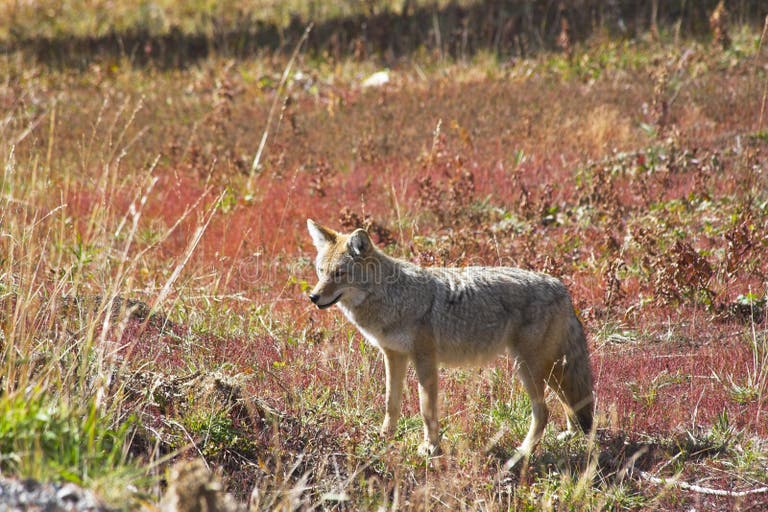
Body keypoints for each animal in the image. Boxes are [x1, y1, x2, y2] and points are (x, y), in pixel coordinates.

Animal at [306, 219, 594, 462]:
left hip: (529, 369)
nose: (313, 297)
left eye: (339, 273)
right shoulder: (393, 355)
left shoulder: (425, 360)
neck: (395, 296)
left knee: (544, 412)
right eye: (321, 271)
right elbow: (391, 403)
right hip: (547, 369)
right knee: (569, 401)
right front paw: (384, 438)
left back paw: (523, 452)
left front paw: (430, 448)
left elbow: (426, 409)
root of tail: (561, 287)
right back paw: (570, 435)